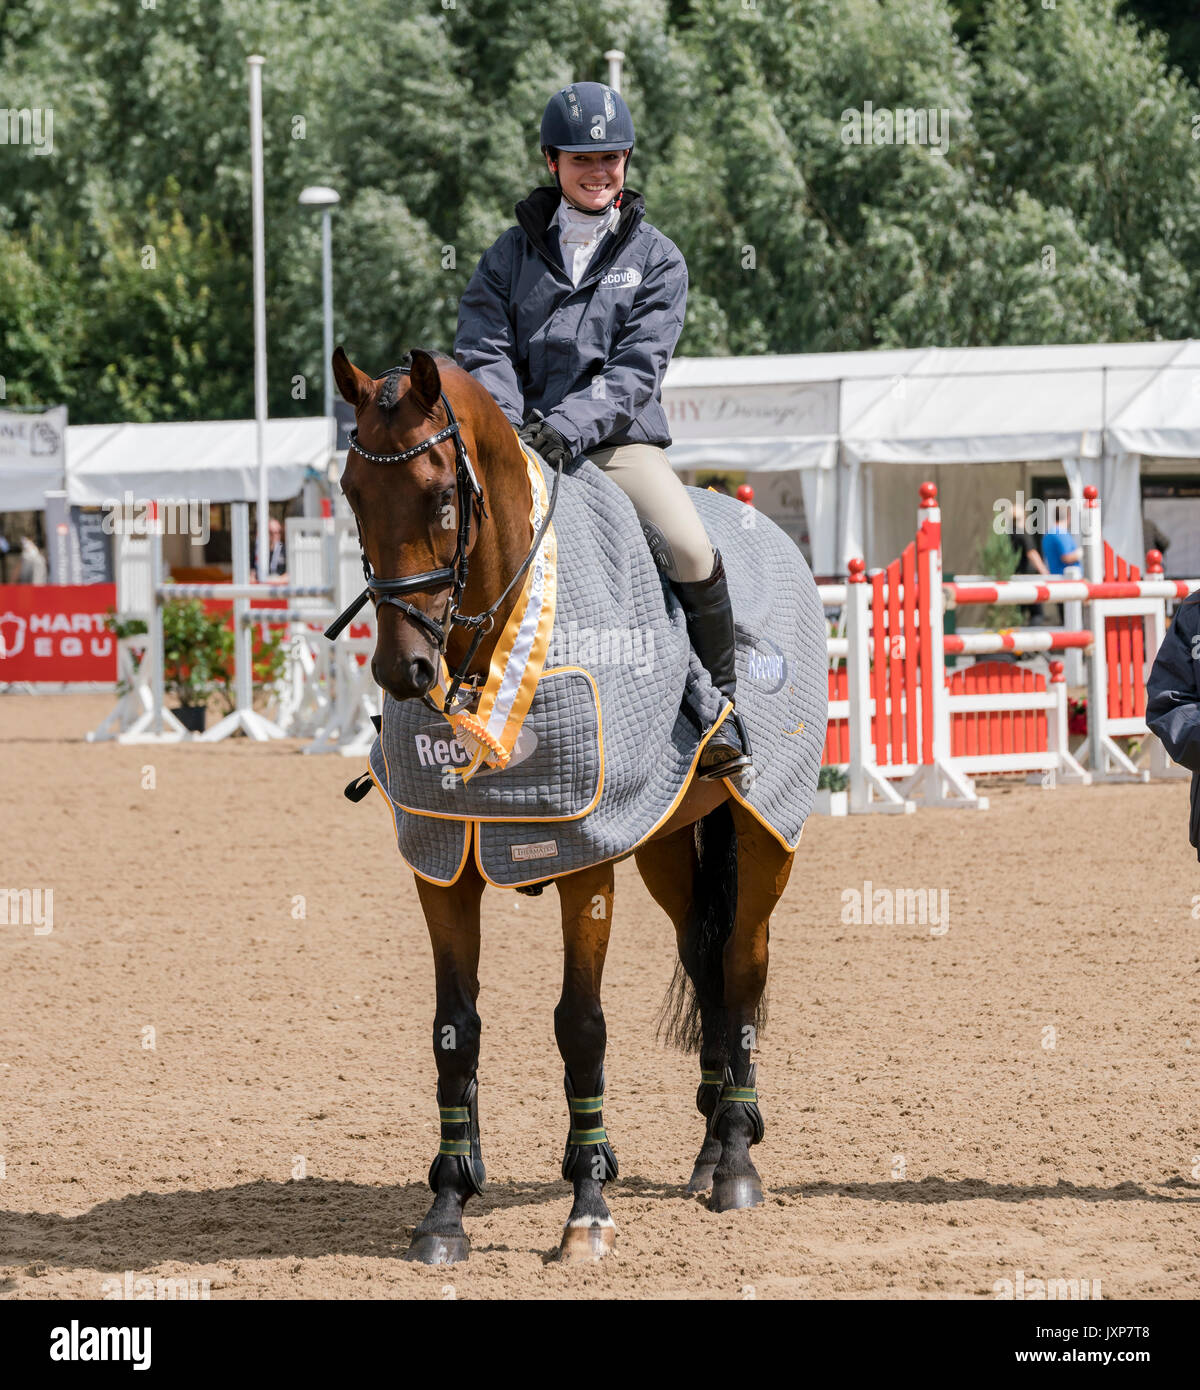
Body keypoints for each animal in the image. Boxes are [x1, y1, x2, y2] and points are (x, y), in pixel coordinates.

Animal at [330, 345, 804, 1265]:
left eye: (443, 496)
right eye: (351, 492)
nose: (403, 670)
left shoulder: (585, 858)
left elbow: (580, 1026)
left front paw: (587, 1207)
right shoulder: (444, 863)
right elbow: (454, 1029)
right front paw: (447, 1205)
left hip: (763, 827)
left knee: (741, 964)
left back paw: (734, 1160)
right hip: (666, 840)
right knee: (706, 962)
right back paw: (706, 1153)